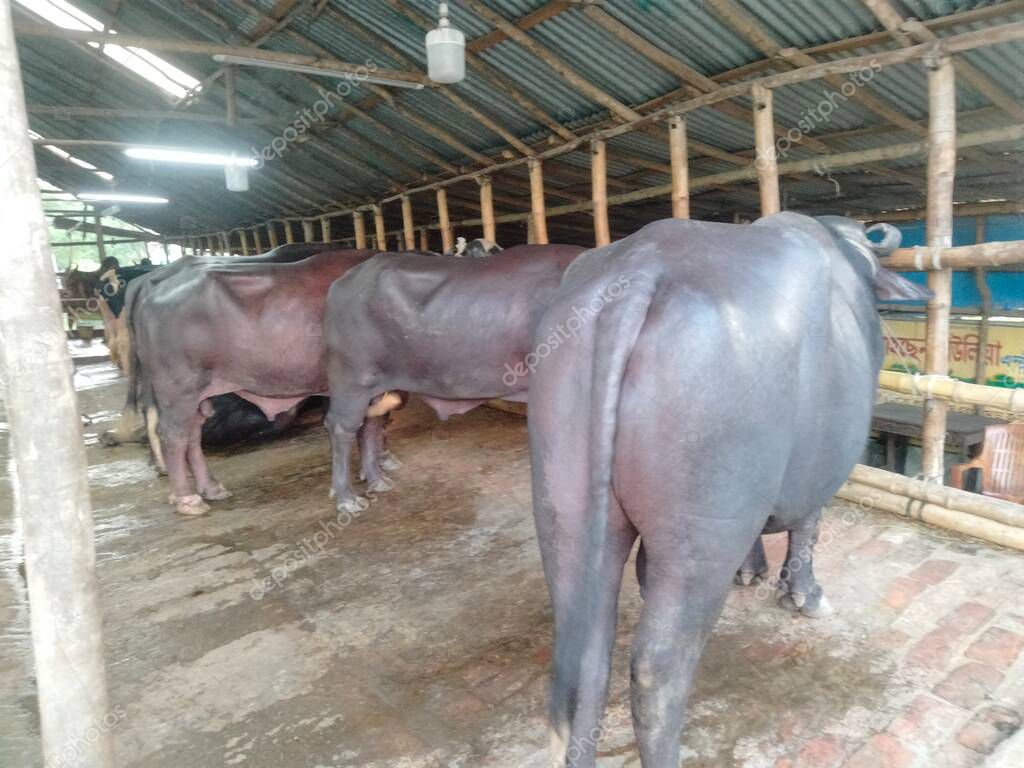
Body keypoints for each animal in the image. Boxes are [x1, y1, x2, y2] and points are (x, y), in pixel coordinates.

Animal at [323, 244, 585, 513]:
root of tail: (342, 283)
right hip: (353, 381)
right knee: (342, 427)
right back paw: (347, 498)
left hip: (378, 386)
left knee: (370, 424)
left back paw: (378, 480)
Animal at [526, 214, 930, 768]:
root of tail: (637, 275)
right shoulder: (817, 470)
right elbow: (809, 527)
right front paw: (803, 595)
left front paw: (752, 571)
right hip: (703, 530)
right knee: (657, 669)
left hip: (563, 505)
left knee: (585, 653)